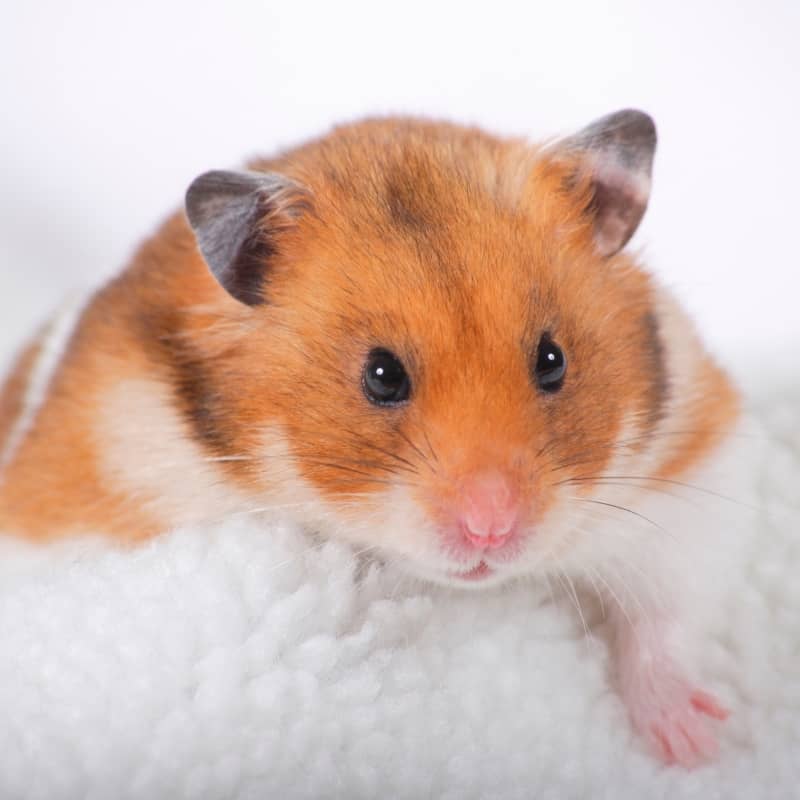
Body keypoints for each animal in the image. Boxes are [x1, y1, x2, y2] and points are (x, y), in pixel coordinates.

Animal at [0, 111, 744, 766]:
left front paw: (698, 746)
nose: (492, 529)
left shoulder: (682, 478)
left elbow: (664, 615)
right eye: (381, 376)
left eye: (553, 360)